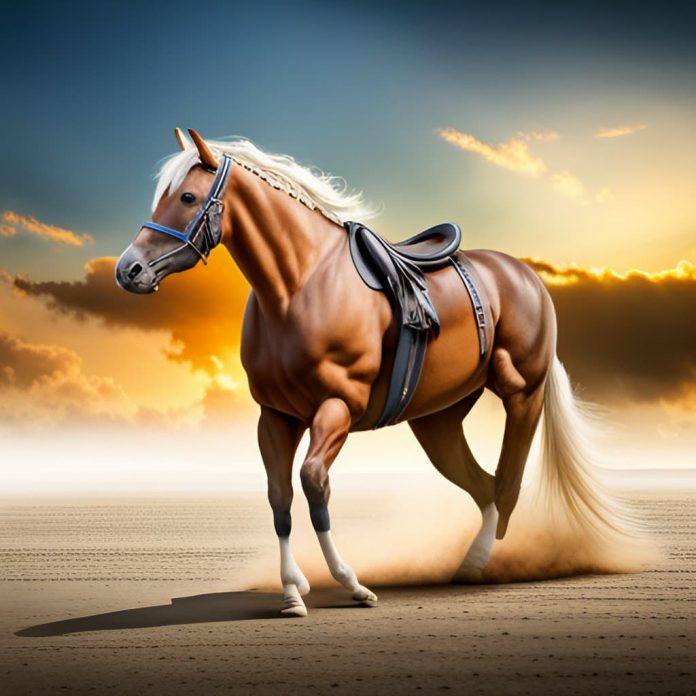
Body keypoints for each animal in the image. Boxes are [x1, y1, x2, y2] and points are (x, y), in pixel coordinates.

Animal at [116, 128, 631, 617]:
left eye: (187, 197)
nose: (128, 270)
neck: (298, 286)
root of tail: (527, 278)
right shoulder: (276, 416)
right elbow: (280, 497)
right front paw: (293, 592)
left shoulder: (338, 406)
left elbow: (313, 483)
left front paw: (351, 584)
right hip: (438, 421)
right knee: (484, 487)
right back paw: (467, 564)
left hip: (522, 395)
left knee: (506, 485)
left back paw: (478, 564)